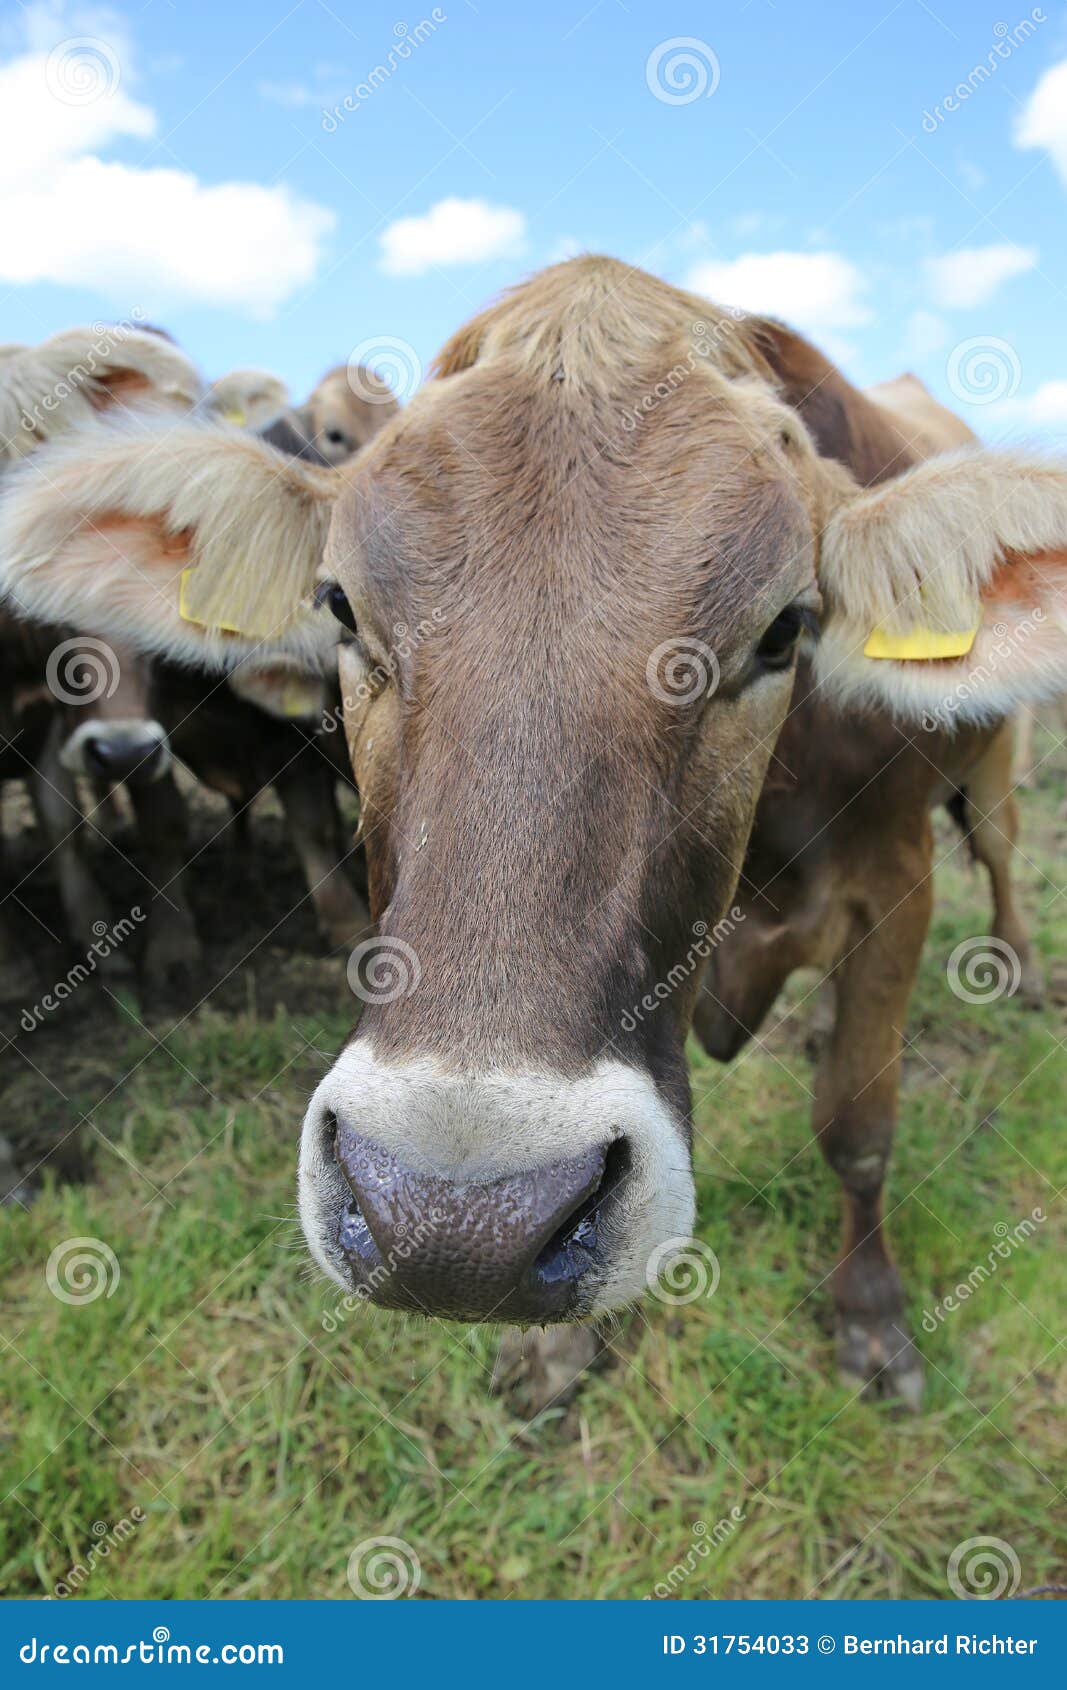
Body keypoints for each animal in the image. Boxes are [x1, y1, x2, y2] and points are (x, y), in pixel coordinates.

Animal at [3, 258, 1067, 1408]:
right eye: (339, 607)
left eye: (785, 627)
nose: (460, 1225)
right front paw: (553, 1355)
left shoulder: (893, 886)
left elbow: (858, 1129)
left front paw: (871, 1322)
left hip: (993, 766)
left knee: (998, 847)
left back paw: (1015, 966)